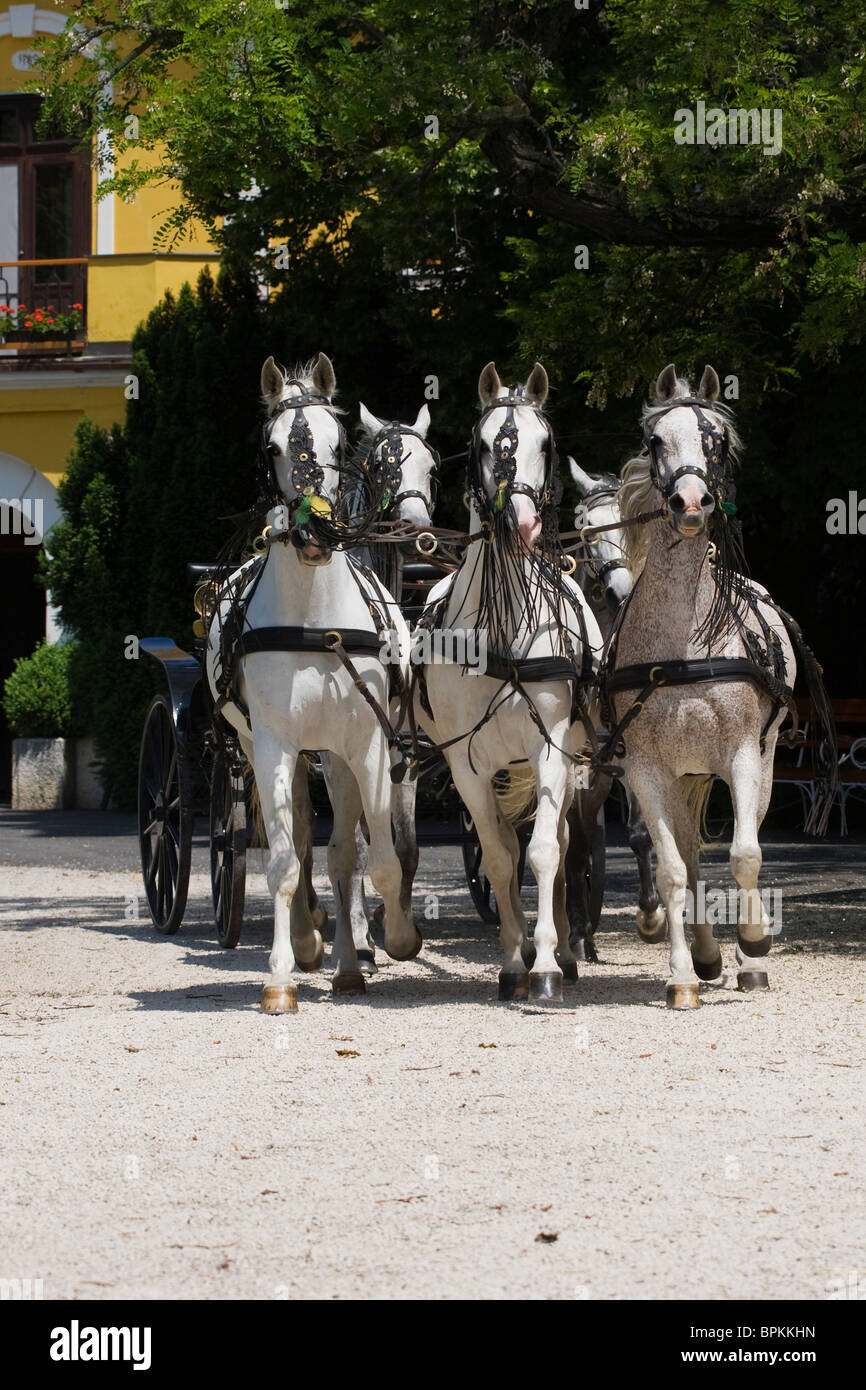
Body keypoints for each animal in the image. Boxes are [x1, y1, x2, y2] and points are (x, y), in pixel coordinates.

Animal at [205, 353, 420, 1012]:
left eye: (336, 441)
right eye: (272, 446)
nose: (313, 535)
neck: (313, 622)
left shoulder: (367, 744)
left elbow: (374, 860)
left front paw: (396, 938)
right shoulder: (273, 743)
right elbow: (283, 861)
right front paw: (281, 975)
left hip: (335, 753)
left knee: (342, 854)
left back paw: (350, 964)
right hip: (272, 749)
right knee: (300, 841)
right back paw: (307, 940)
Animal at [416, 361, 603, 1003]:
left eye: (544, 444)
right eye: (481, 445)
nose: (519, 522)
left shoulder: (549, 750)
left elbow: (544, 852)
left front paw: (546, 963)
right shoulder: (466, 767)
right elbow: (499, 859)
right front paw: (513, 961)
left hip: (571, 762)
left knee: (563, 844)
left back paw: (564, 950)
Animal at [608, 363, 834, 1008]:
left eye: (718, 441)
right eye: (657, 441)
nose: (690, 500)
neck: (684, 639)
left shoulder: (741, 755)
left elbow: (746, 854)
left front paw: (754, 946)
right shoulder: (646, 768)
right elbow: (673, 870)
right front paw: (683, 976)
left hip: (762, 757)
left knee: (745, 834)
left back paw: (743, 955)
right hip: (685, 775)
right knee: (688, 853)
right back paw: (708, 955)